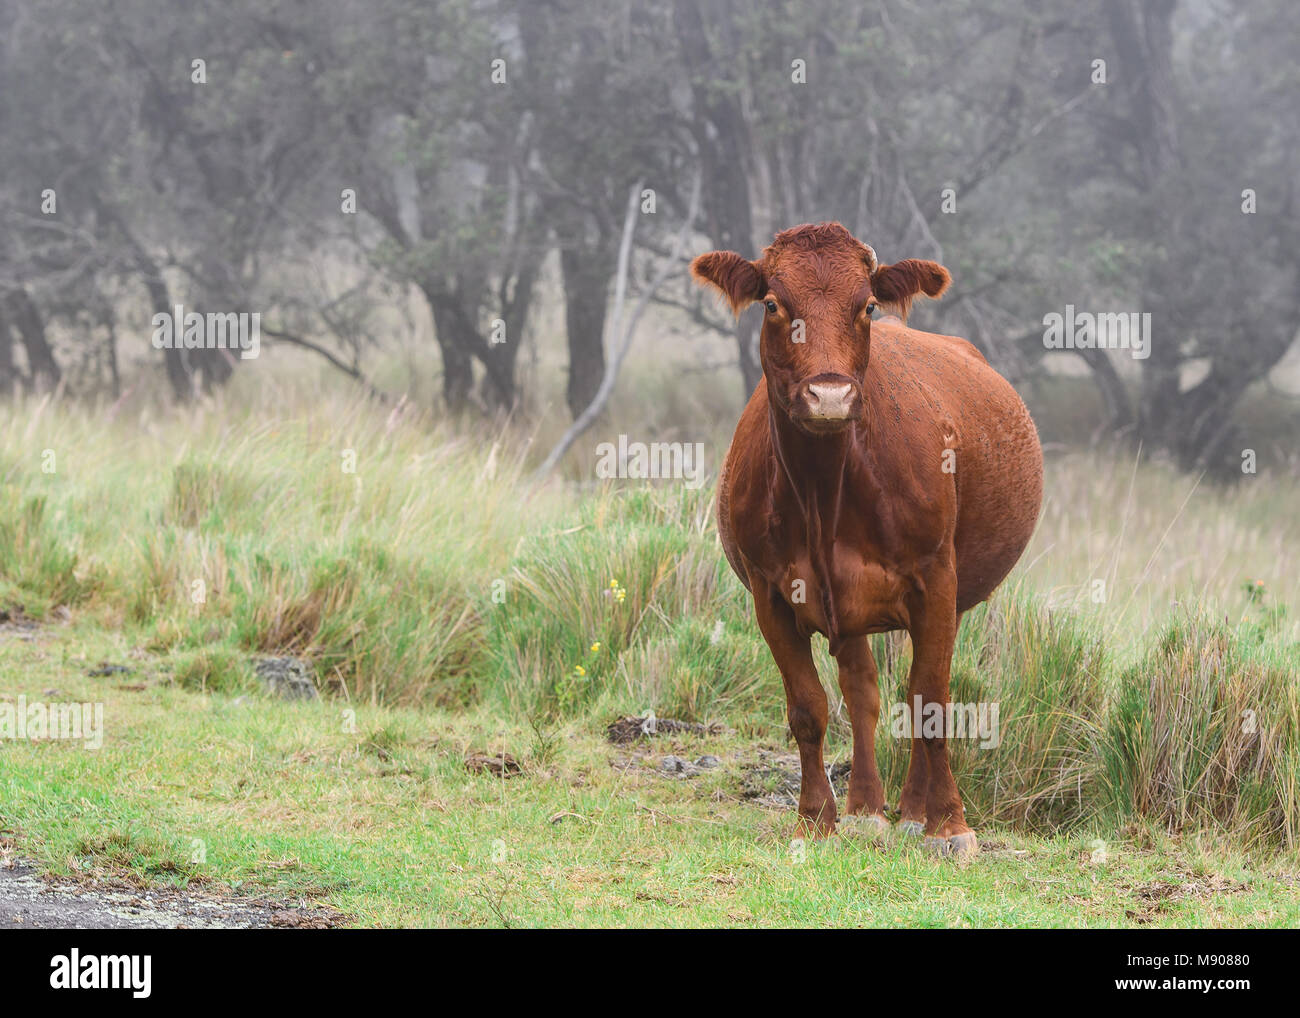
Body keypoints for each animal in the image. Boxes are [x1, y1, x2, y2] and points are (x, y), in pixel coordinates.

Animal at [692, 222, 1043, 858]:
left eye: (868, 306)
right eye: (774, 305)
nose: (829, 396)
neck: (823, 489)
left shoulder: (937, 581)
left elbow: (932, 700)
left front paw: (949, 825)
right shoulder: (770, 594)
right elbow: (809, 707)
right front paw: (815, 819)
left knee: (912, 691)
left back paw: (913, 811)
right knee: (863, 693)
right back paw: (867, 807)